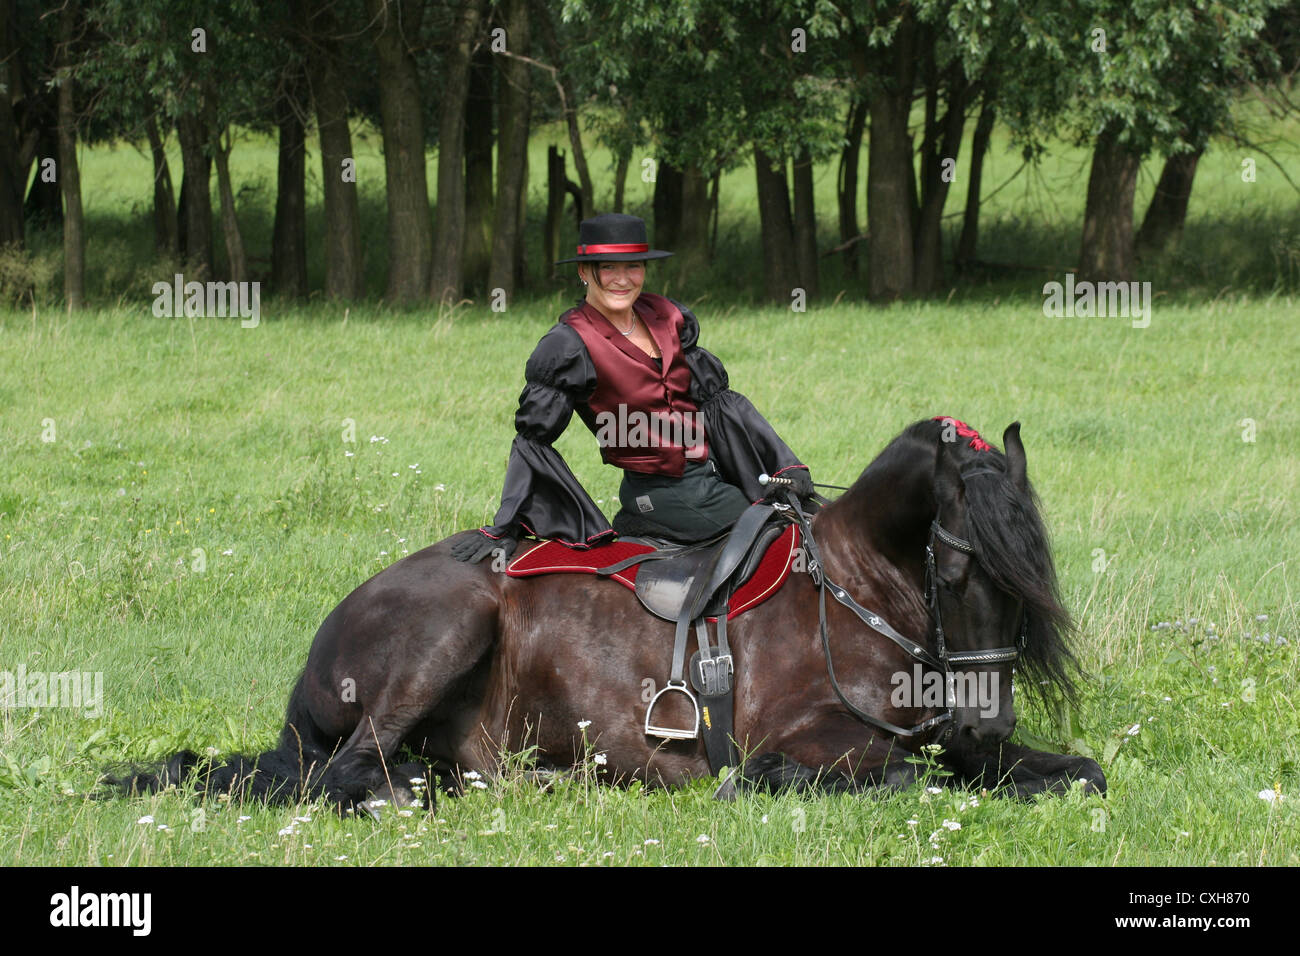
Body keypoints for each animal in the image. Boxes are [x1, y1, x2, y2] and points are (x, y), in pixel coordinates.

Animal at [118, 417, 1105, 808]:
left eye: (1031, 585)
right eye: (957, 567)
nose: (988, 720)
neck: (854, 596)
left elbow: (1081, 772)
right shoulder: (796, 743)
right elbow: (899, 776)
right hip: (447, 627)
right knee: (353, 771)